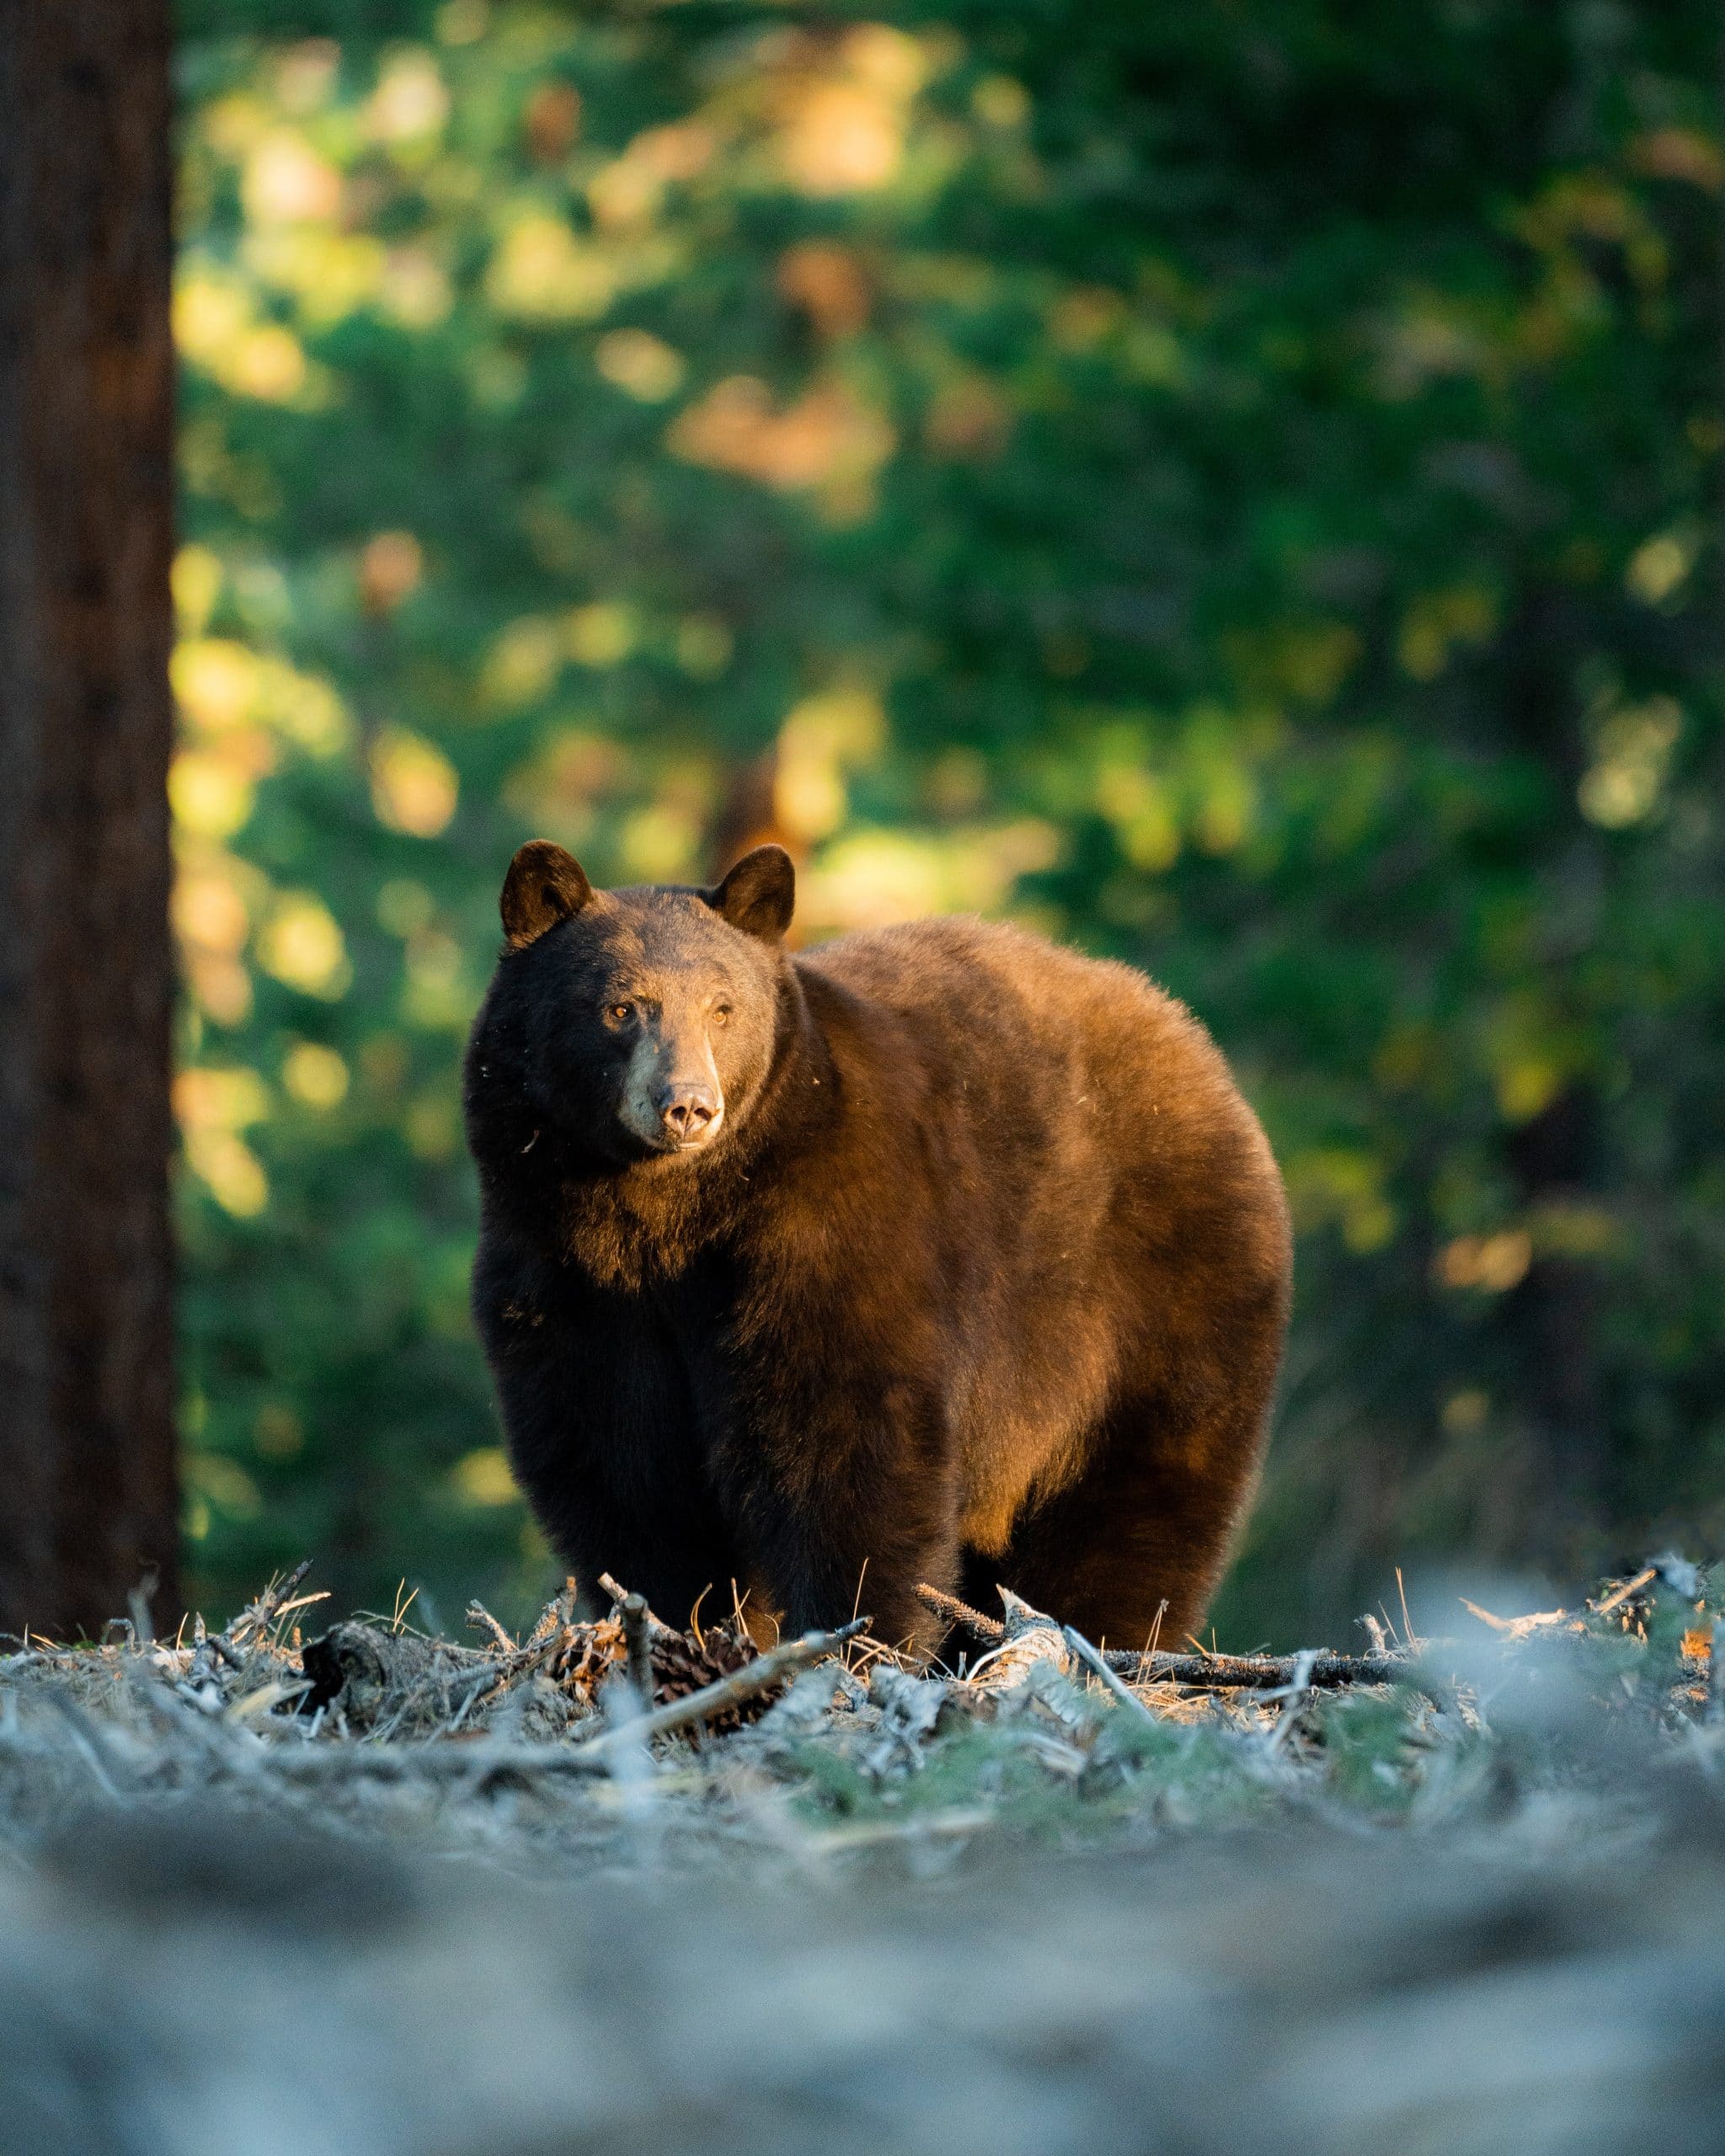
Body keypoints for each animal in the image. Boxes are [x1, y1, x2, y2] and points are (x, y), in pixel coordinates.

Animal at [463, 839, 1291, 1655]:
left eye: (723, 1008)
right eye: (620, 1008)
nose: (688, 1105)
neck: (666, 1215)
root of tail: (1194, 1041)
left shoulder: (829, 1222)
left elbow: (845, 1434)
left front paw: (856, 1633)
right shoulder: (561, 1271)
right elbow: (619, 1459)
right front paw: (678, 1624)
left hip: (1153, 1288)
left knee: (1138, 1493)